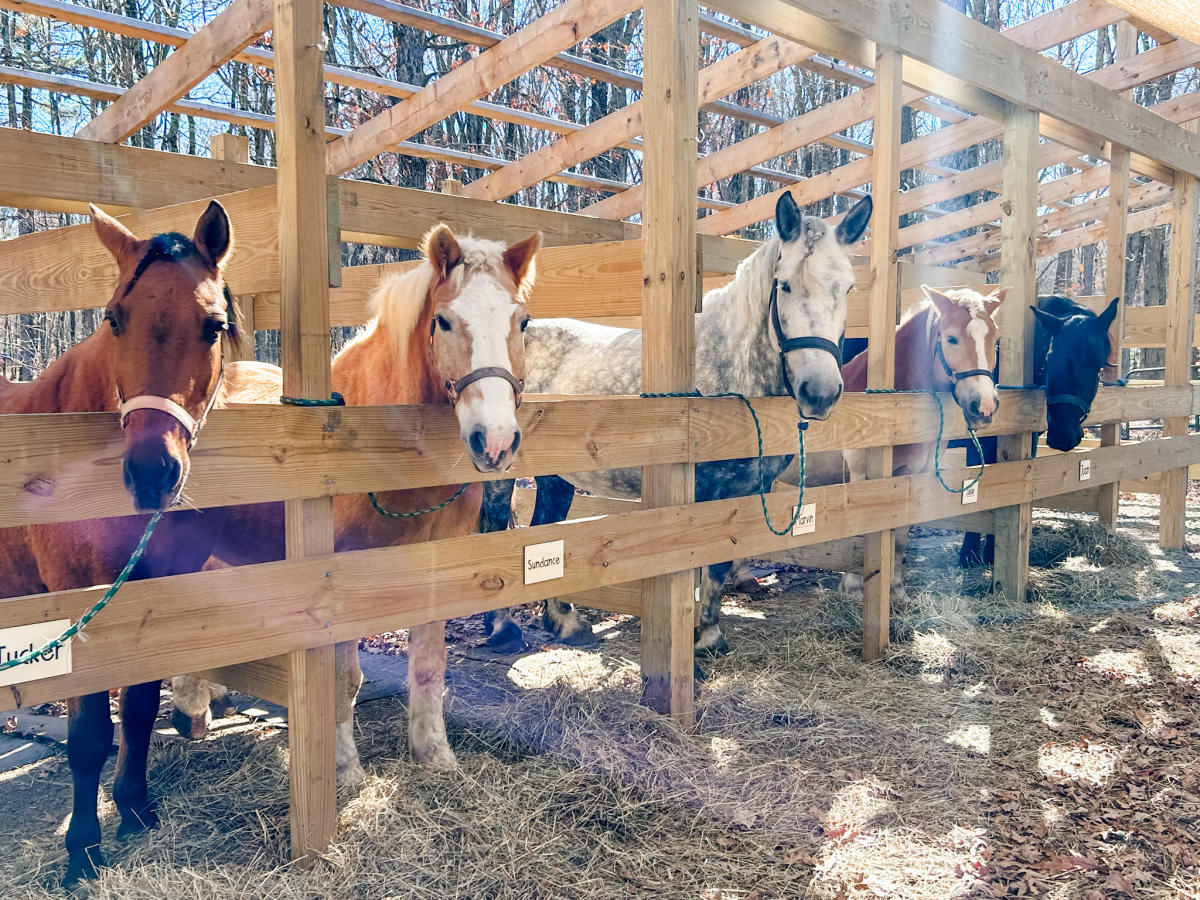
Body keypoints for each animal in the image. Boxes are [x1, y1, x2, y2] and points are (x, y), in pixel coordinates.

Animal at [0, 202, 239, 886]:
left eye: (213, 326)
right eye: (113, 318)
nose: (151, 473)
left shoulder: (151, 600)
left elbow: (136, 710)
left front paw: (133, 809)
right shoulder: (79, 610)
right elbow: (88, 737)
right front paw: (82, 849)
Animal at [171, 224, 540, 783]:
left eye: (522, 321)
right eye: (443, 321)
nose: (495, 441)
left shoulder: (438, 567)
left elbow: (428, 666)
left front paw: (435, 756)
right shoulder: (337, 585)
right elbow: (343, 678)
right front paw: (345, 768)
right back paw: (192, 705)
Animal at [478, 191, 874, 656]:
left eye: (847, 287)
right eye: (785, 285)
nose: (820, 392)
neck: (730, 366)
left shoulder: (740, 491)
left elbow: (720, 564)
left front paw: (711, 636)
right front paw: (697, 642)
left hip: (557, 475)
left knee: (544, 531)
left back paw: (564, 621)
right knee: (494, 526)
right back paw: (503, 629)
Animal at [729, 285, 1006, 607]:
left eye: (994, 339)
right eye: (950, 338)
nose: (984, 406)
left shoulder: (912, 477)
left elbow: (899, 536)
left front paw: (896, 591)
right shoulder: (863, 476)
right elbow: (862, 528)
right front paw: (852, 587)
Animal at [958, 294, 1119, 567]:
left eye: (1098, 364)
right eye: (1050, 358)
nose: (1063, 434)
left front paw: (991, 553)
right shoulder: (976, 441)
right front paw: (969, 554)